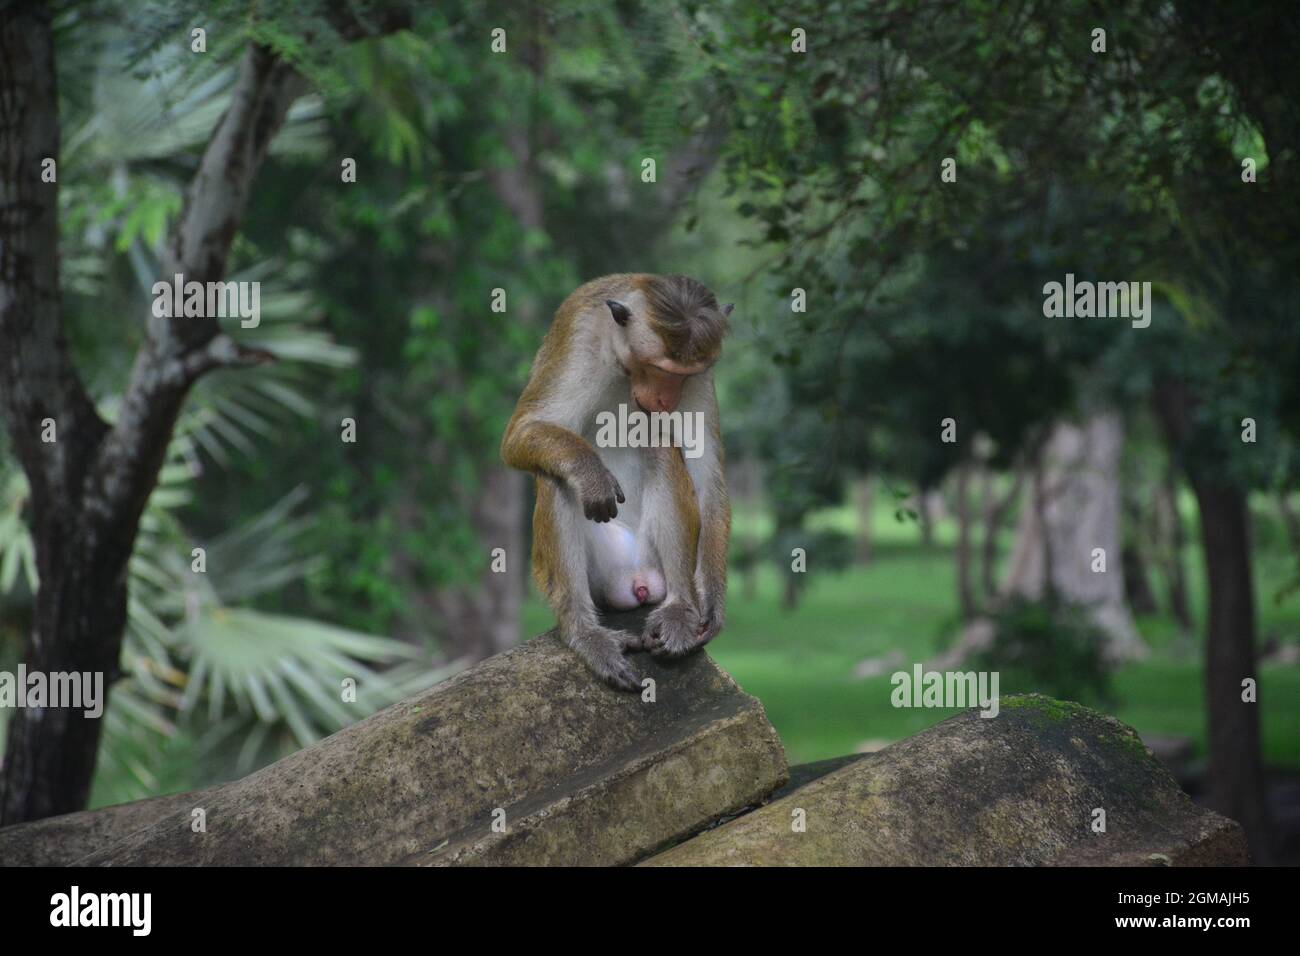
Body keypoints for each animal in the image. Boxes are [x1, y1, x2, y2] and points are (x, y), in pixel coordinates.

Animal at [502, 274, 732, 690]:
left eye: (684, 374)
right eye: (661, 368)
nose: (665, 399)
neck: (623, 361)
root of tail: (636, 580)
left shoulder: (704, 373)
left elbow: (707, 477)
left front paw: (712, 602)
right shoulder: (579, 335)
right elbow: (523, 432)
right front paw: (591, 475)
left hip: (652, 560)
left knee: (661, 443)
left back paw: (679, 609)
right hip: (593, 573)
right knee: (556, 477)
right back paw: (584, 632)